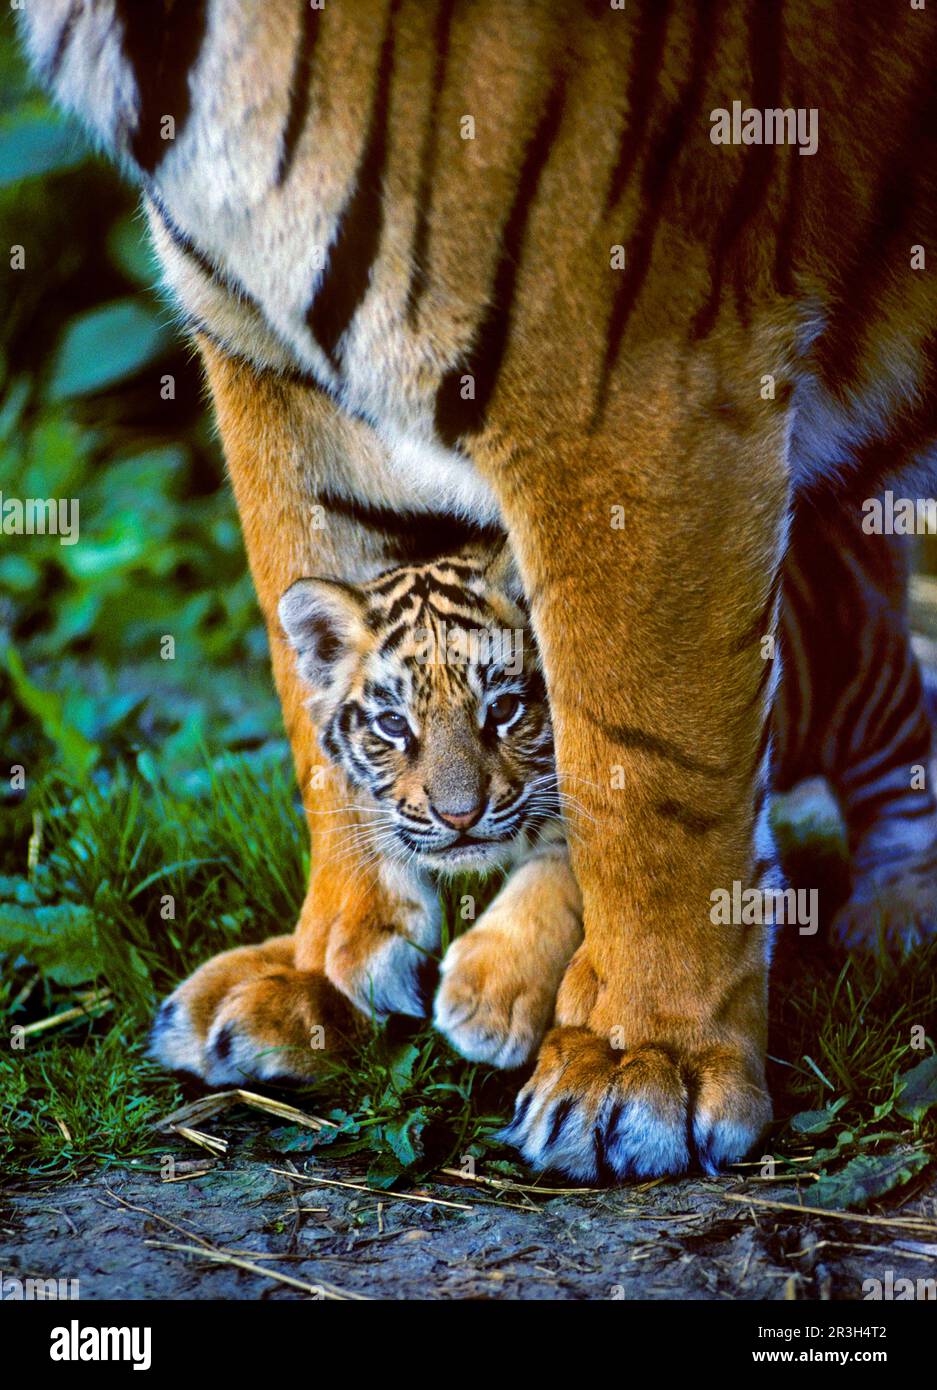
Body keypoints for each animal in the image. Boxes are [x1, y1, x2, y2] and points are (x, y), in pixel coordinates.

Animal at [21, 0, 937, 1183]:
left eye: (504, 712)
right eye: (392, 725)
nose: (454, 811)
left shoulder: (626, 376)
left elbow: (641, 771)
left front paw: (638, 1064)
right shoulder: (258, 347)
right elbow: (304, 676)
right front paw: (327, 967)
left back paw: (894, 915)